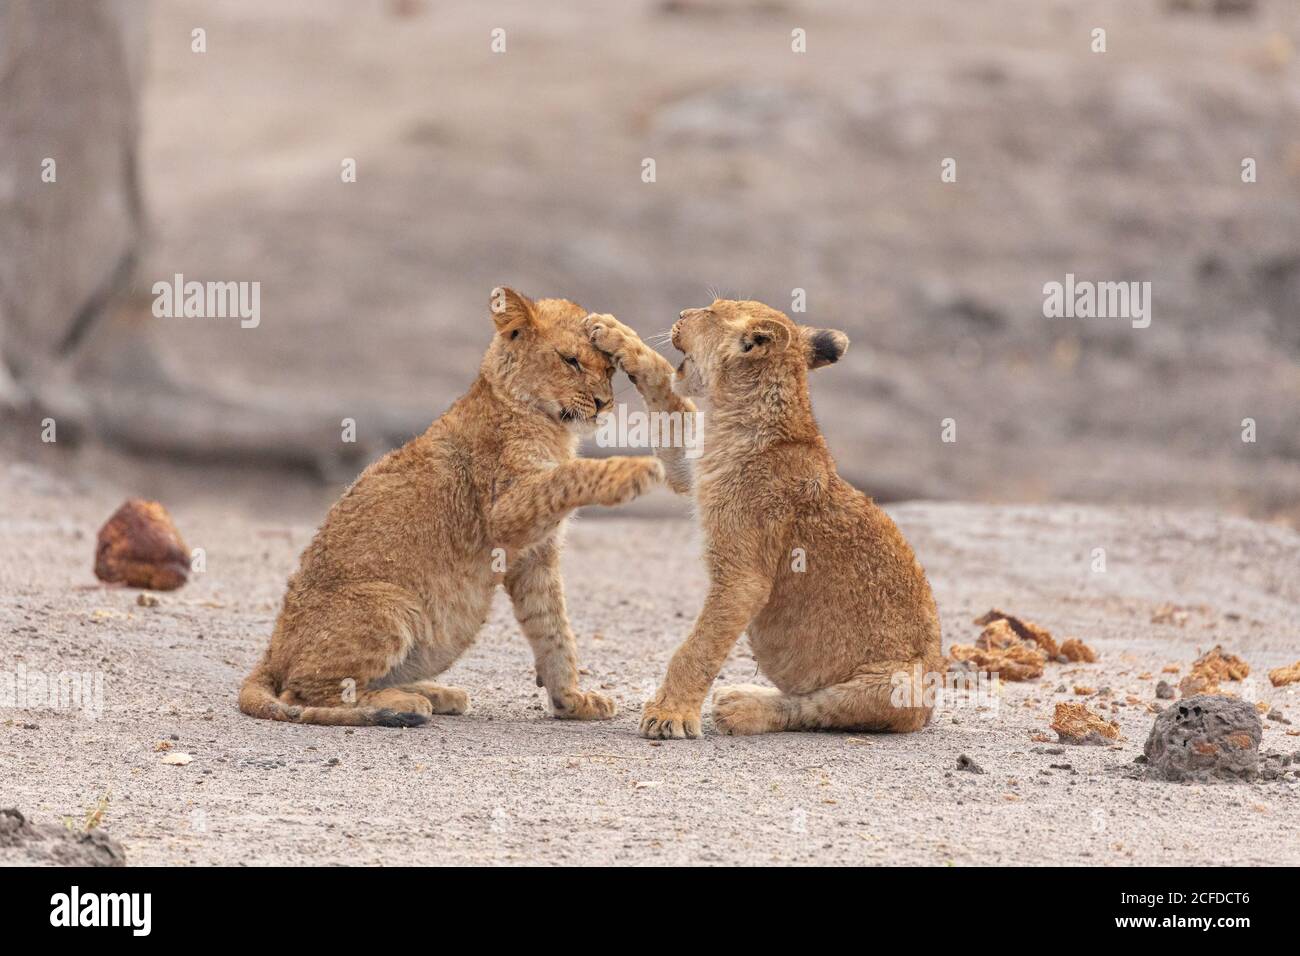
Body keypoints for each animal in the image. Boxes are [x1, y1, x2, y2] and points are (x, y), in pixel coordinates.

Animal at [239, 288, 664, 727]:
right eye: (571, 360)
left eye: (610, 368)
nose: (603, 403)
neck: (547, 423)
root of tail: (271, 651)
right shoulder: (503, 515)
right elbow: (569, 474)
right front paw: (635, 471)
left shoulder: (536, 557)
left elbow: (554, 631)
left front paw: (572, 701)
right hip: (394, 604)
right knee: (305, 692)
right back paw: (402, 705)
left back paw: (432, 692)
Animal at [585, 301, 943, 739]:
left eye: (711, 311)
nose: (683, 312)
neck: (738, 417)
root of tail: (927, 712)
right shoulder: (692, 467)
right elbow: (665, 392)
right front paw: (615, 335)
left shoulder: (744, 578)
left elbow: (698, 648)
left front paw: (669, 716)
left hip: (897, 682)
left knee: (816, 707)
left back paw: (740, 707)